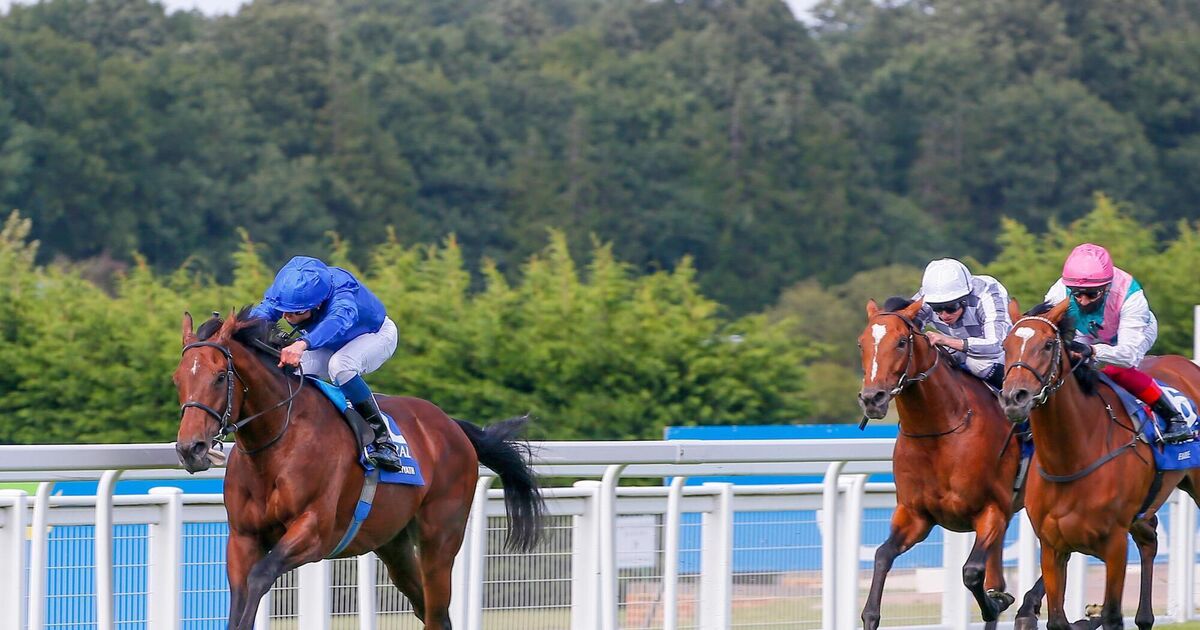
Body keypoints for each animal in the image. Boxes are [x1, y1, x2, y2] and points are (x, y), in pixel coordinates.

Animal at [172, 308, 545, 630]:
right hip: (394, 544)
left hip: (440, 539)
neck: (276, 444)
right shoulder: (243, 538)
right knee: (426, 607)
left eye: (220, 376)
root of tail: (452, 426)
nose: (191, 448)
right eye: (178, 379)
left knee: (437, 613)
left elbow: (259, 577)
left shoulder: (314, 532)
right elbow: (239, 598)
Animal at [857, 297, 1045, 629]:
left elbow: (971, 573)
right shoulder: (916, 516)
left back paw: (1028, 605)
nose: (872, 398)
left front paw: (996, 604)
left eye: (902, 342)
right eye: (861, 344)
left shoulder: (992, 511)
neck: (939, 433)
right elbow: (881, 556)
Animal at [1000, 299, 1200, 630]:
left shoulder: (1114, 544)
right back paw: (1145, 617)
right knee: (1150, 539)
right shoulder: (1052, 547)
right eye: (1005, 345)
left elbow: (1112, 615)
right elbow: (1057, 619)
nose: (1014, 398)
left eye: (1048, 345)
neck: (1069, 458)